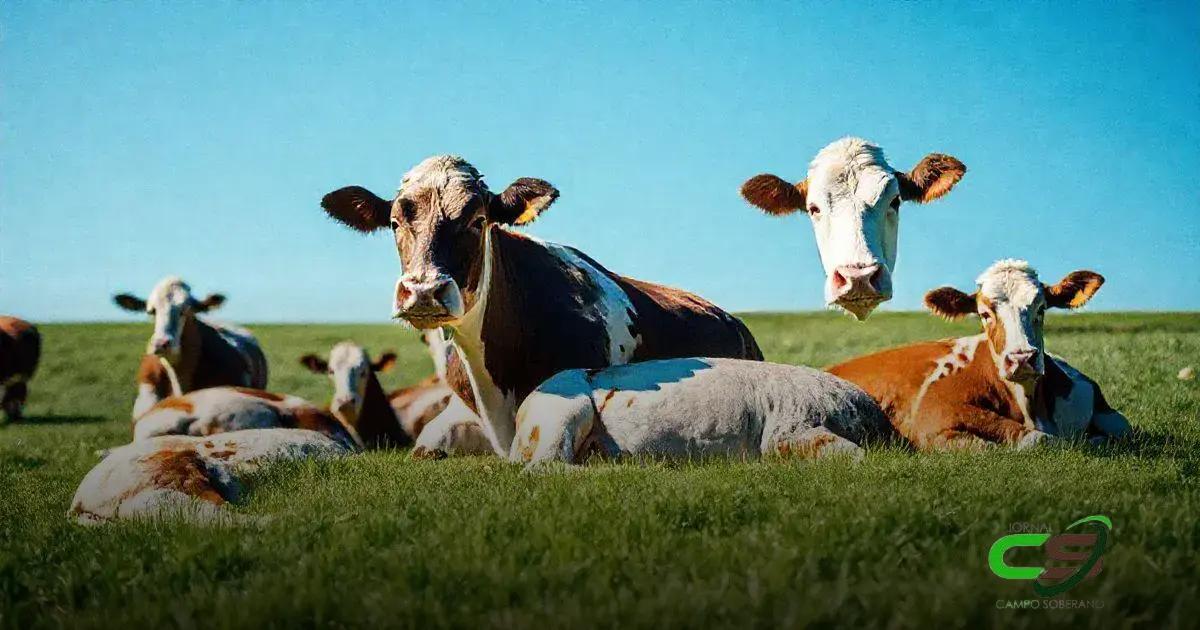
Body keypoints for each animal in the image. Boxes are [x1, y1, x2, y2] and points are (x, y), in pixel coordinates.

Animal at [827, 260, 1132, 450]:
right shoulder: (934, 414)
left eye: (1042, 308)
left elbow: (1123, 431)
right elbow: (1034, 440)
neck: (1033, 407)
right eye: (984, 314)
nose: (1022, 358)